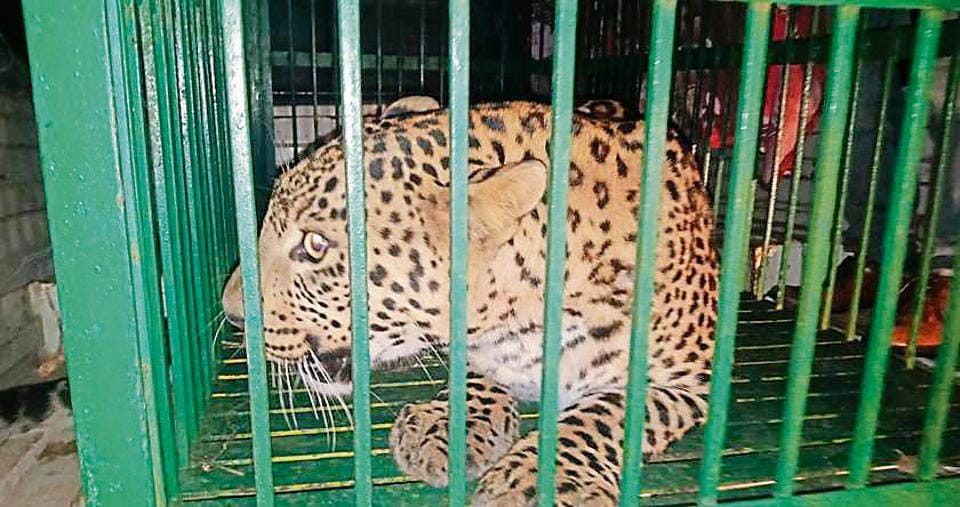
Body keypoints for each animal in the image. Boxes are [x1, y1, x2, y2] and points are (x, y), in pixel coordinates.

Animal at [221, 96, 719, 506]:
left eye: (315, 245)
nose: (231, 313)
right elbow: (478, 374)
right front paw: (447, 425)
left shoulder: (692, 380)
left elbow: (603, 414)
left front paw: (540, 482)